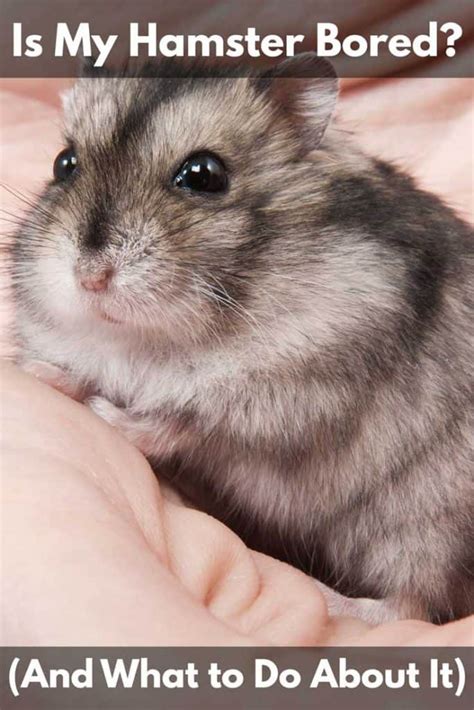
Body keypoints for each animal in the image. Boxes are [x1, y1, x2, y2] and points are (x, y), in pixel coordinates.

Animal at [11, 55, 474, 623]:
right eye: (64, 163)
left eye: (204, 174)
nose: (90, 278)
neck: (154, 340)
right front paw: (39, 371)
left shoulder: (293, 393)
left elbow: (182, 422)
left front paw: (104, 413)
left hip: (428, 524)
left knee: (409, 604)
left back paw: (332, 599)